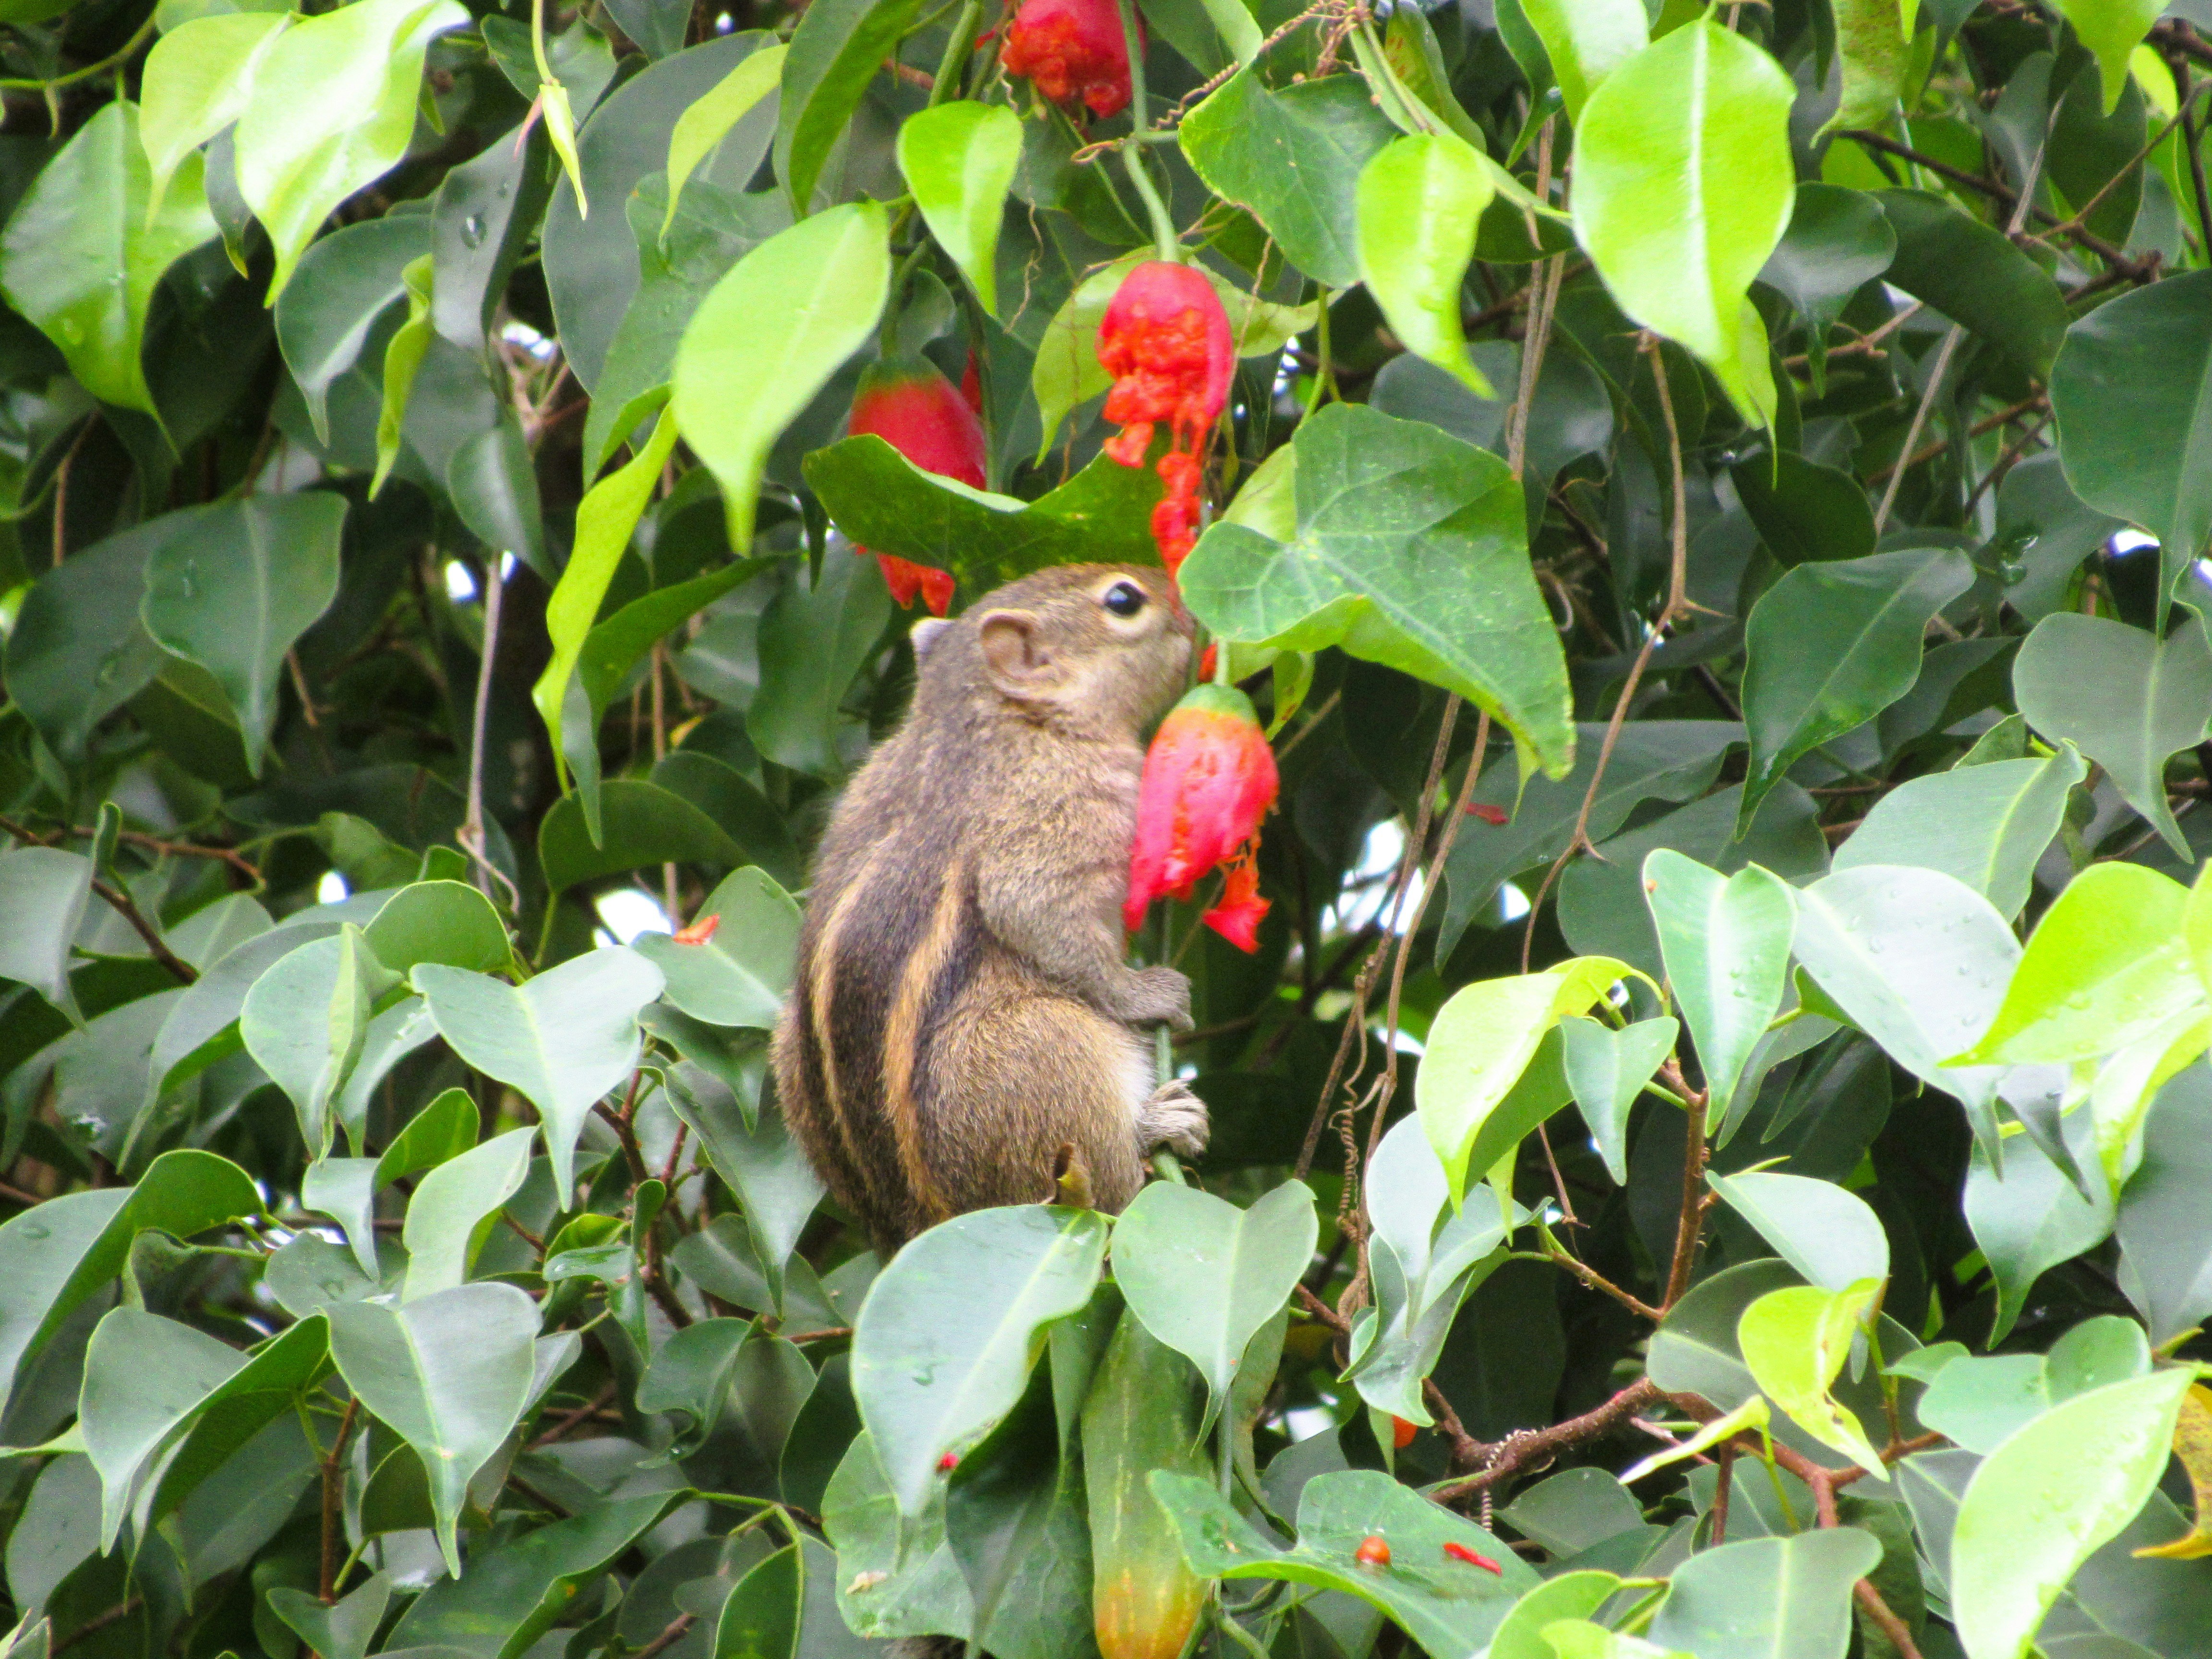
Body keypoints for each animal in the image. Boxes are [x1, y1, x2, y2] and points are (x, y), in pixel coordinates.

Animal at [770, 563, 1209, 1255]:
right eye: (1124, 600)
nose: (1192, 615)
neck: (978, 721)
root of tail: (916, 1224)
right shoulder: (1059, 814)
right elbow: (1040, 915)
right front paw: (1149, 993)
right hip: (1039, 1049)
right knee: (1107, 1190)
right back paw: (1159, 1125)